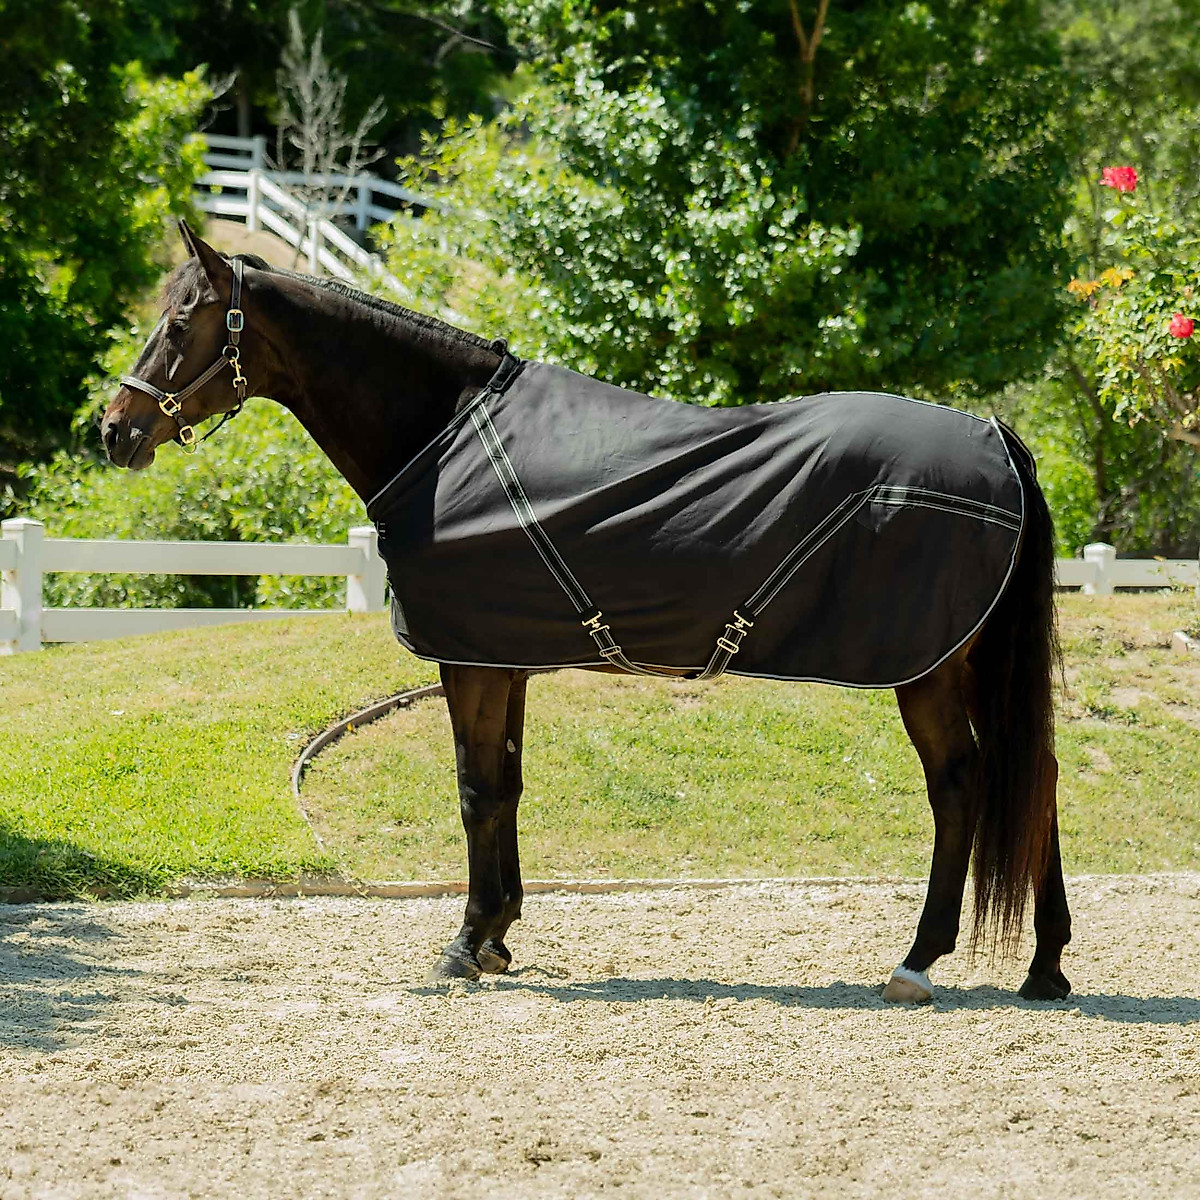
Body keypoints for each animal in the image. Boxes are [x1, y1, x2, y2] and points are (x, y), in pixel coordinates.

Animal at [99, 221, 1072, 1003]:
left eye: (180, 322)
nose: (112, 430)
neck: (443, 435)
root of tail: (997, 437)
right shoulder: (505, 658)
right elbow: (508, 787)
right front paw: (497, 935)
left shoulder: (470, 659)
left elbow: (474, 791)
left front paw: (464, 944)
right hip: (967, 660)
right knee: (1031, 779)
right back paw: (1045, 966)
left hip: (930, 667)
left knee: (961, 785)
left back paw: (920, 960)